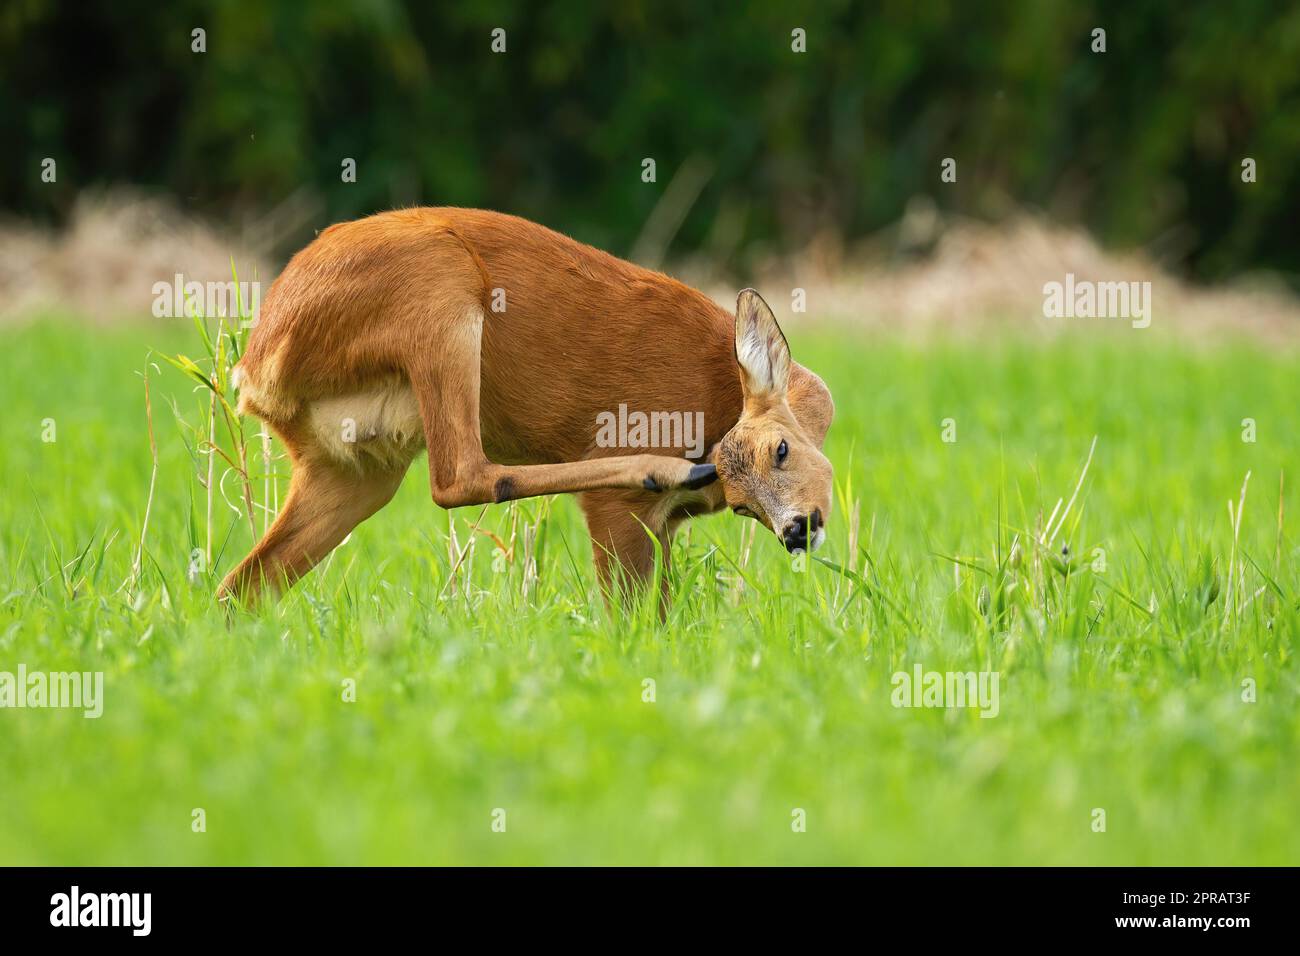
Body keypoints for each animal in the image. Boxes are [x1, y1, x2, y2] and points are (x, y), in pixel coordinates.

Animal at [218, 208, 834, 608]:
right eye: (779, 448)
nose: (797, 530)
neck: (717, 394)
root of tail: (254, 366)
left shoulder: (667, 525)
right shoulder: (622, 508)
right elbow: (632, 613)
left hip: (353, 467)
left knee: (243, 587)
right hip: (438, 291)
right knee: (460, 475)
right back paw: (663, 469)